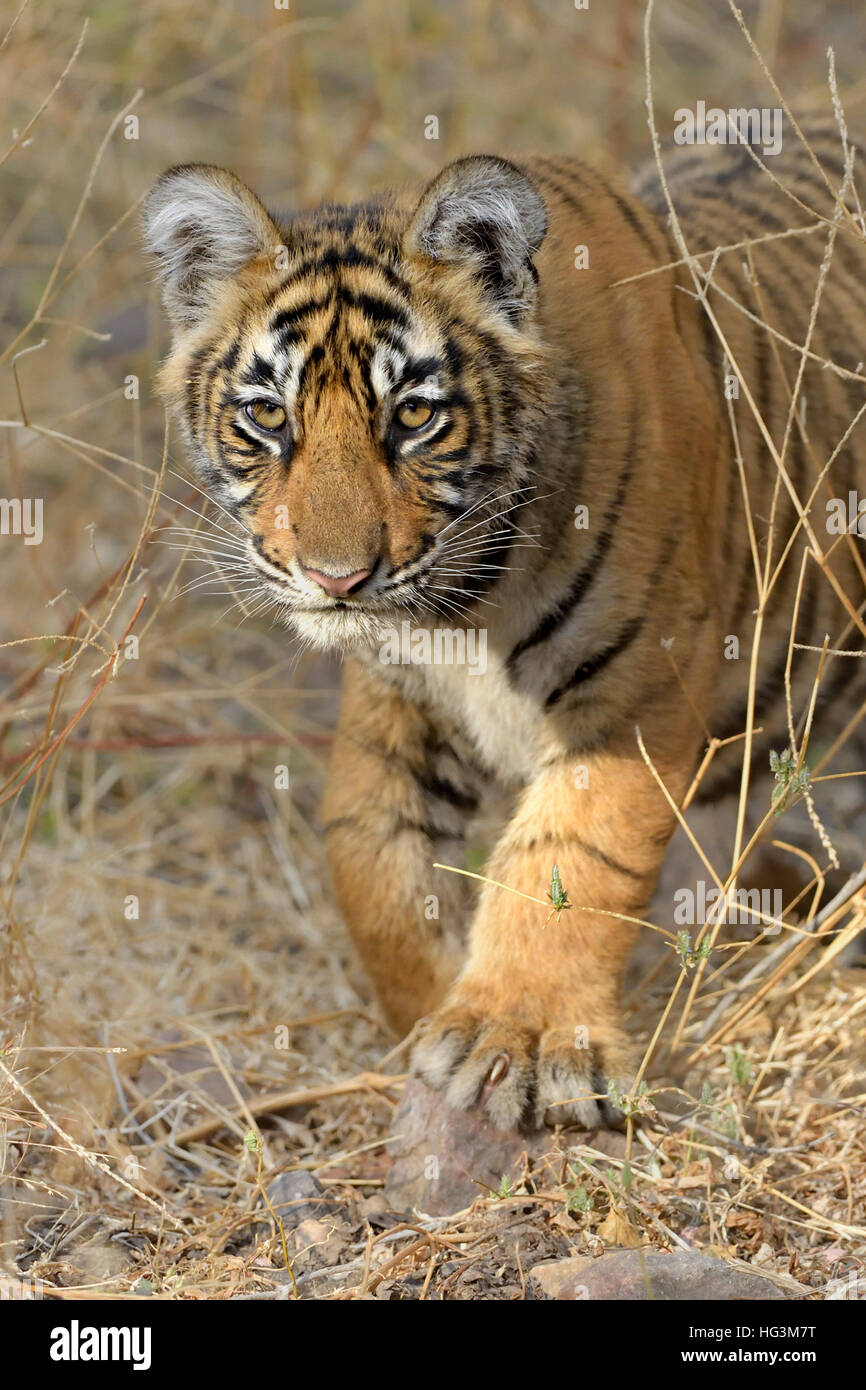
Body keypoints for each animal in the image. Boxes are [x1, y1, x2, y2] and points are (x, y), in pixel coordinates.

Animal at [143, 117, 866, 1132]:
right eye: (267, 416)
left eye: (413, 415)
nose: (334, 578)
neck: (465, 607)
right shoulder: (396, 699)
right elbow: (369, 862)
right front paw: (429, 1014)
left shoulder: (635, 690)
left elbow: (567, 861)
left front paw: (511, 1038)